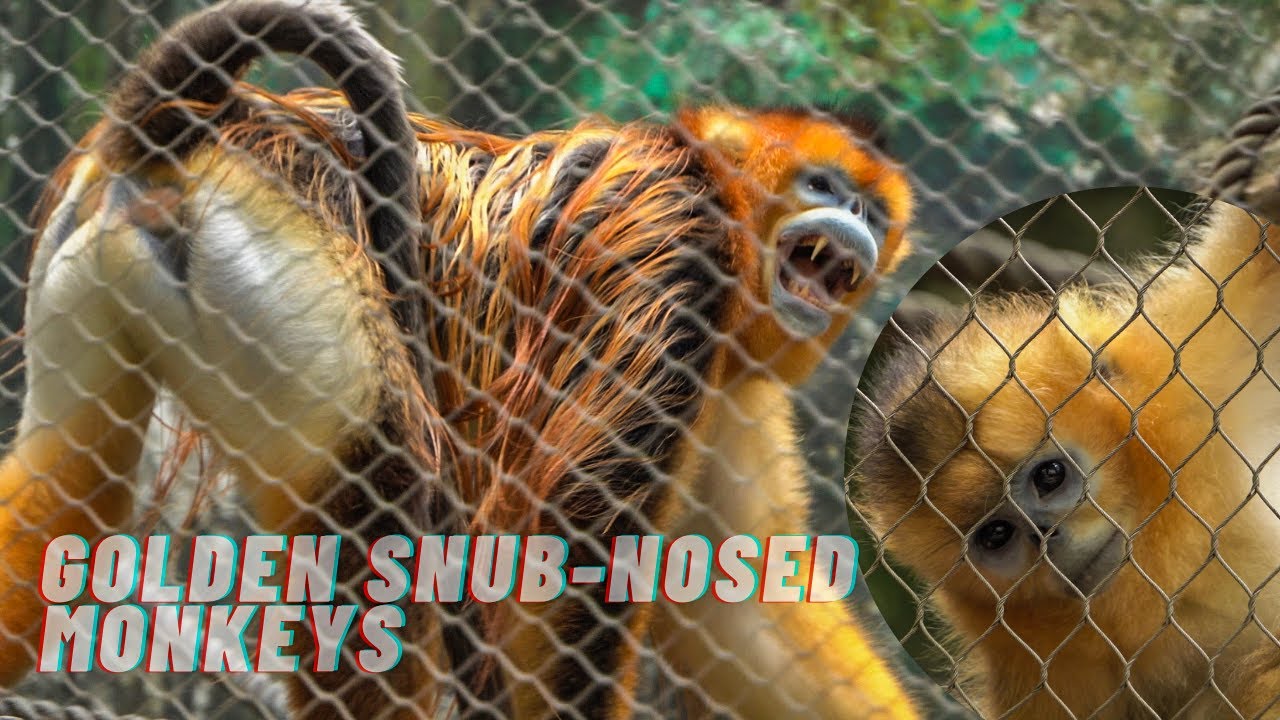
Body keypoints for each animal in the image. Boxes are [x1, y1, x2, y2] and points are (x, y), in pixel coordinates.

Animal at [0, 1, 921, 718]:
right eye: (825, 189)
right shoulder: (675, 239)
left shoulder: (732, 376)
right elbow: (574, 530)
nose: (857, 226)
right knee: (382, 507)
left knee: (72, 483)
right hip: (265, 249)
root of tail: (180, 137)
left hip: (94, 248)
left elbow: (742, 605)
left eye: (873, 210)